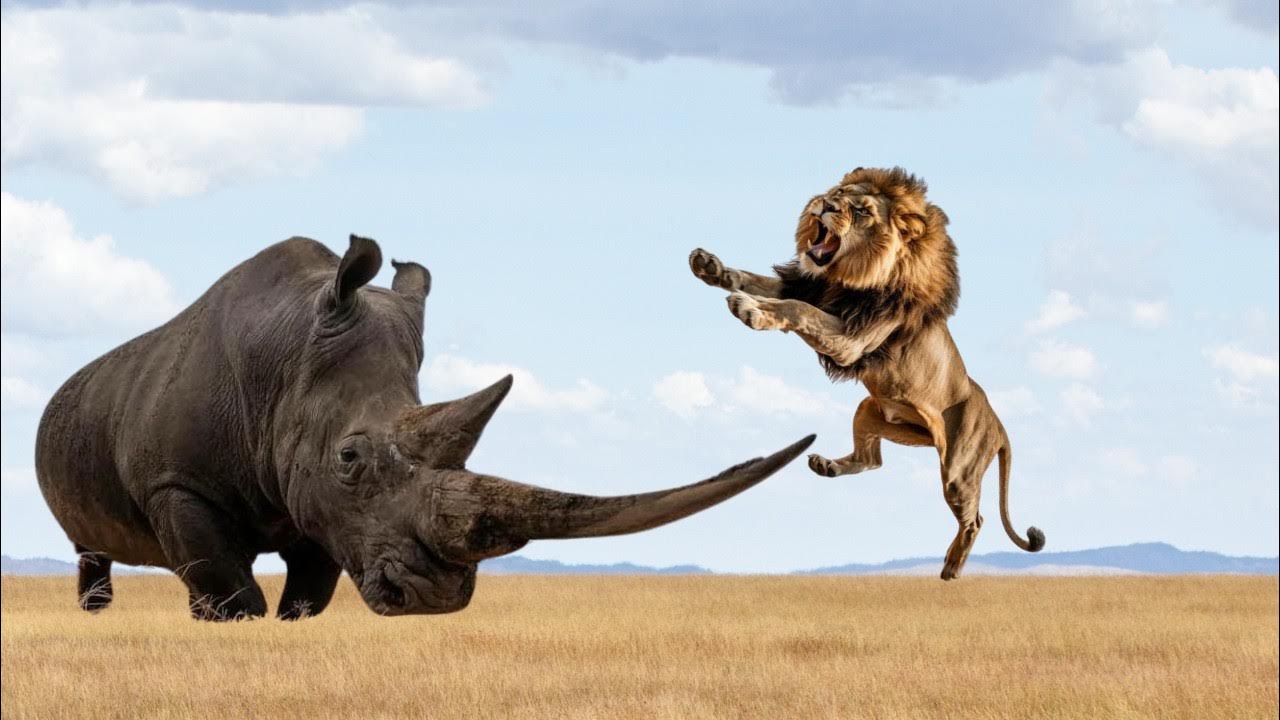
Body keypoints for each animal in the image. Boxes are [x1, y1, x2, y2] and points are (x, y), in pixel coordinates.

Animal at [35, 236, 813, 620]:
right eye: (350, 456)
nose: (434, 602)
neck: (285, 363)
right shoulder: (178, 482)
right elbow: (227, 585)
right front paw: (229, 624)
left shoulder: (311, 493)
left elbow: (311, 584)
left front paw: (292, 623)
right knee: (89, 547)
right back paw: (96, 613)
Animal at [689, 166, 1044, 580]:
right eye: (839, 193)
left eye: (861, 211)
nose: (824, 205)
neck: (846, 278)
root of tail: (999, 424)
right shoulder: (815, 289)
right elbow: (760, 281)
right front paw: (711, 267)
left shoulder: (851, 339)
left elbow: (794, 308)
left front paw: (751, 310)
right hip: (871, 411)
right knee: (873, 459)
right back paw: (827, 466)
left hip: (959, 470)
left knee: (975, 519)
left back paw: (952, 567)